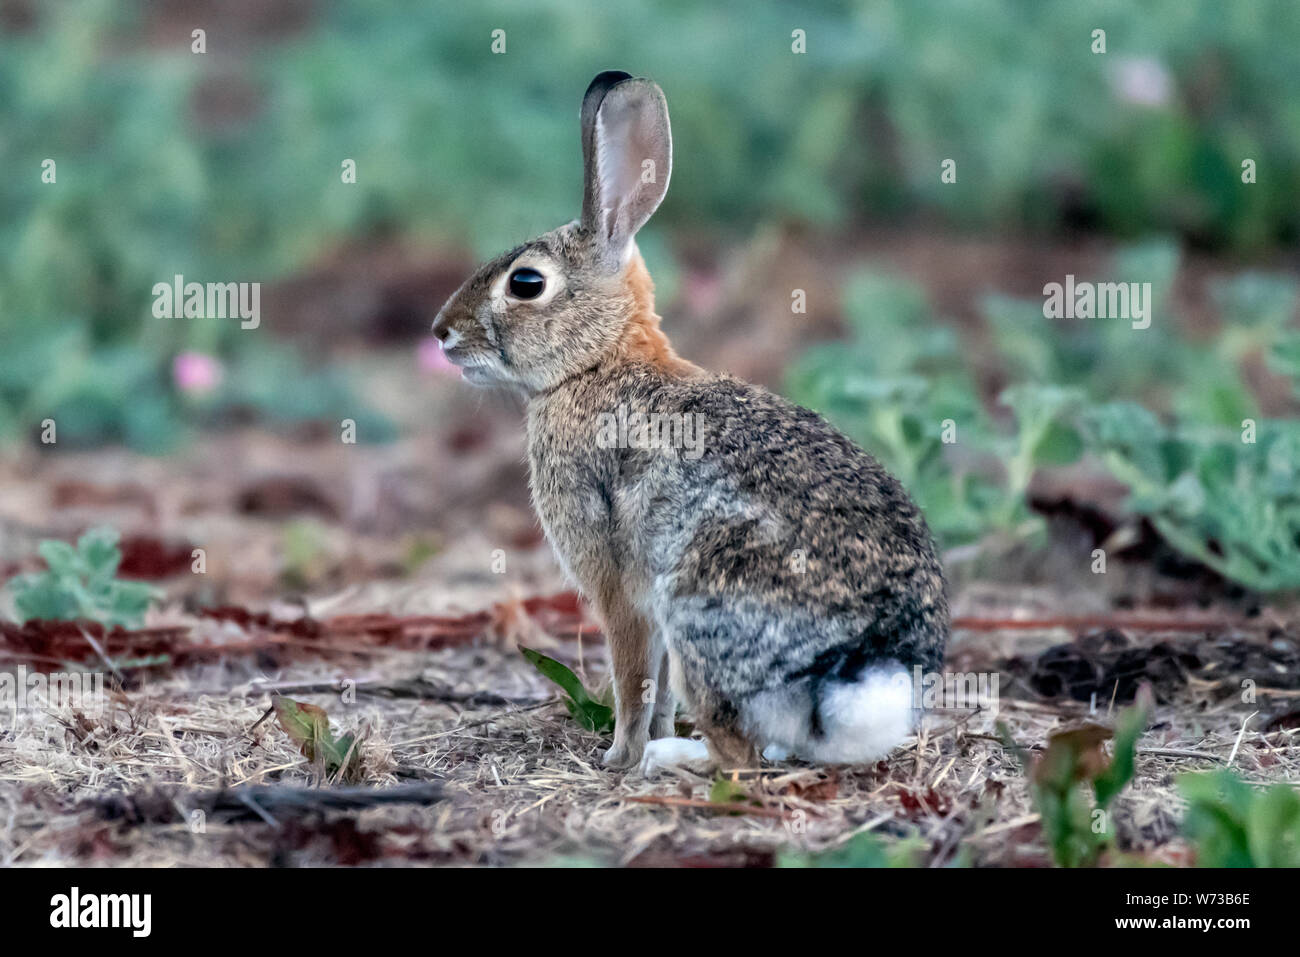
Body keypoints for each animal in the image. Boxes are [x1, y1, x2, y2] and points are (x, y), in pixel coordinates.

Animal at [431, 71, 948, 776]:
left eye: (527, 283)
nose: (441, 332)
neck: (600, 361)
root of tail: (868, 670)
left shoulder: (620, 589)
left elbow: (634, 680)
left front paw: (617, 757)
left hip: (699, 601)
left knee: (739, 756)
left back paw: (670, 758)